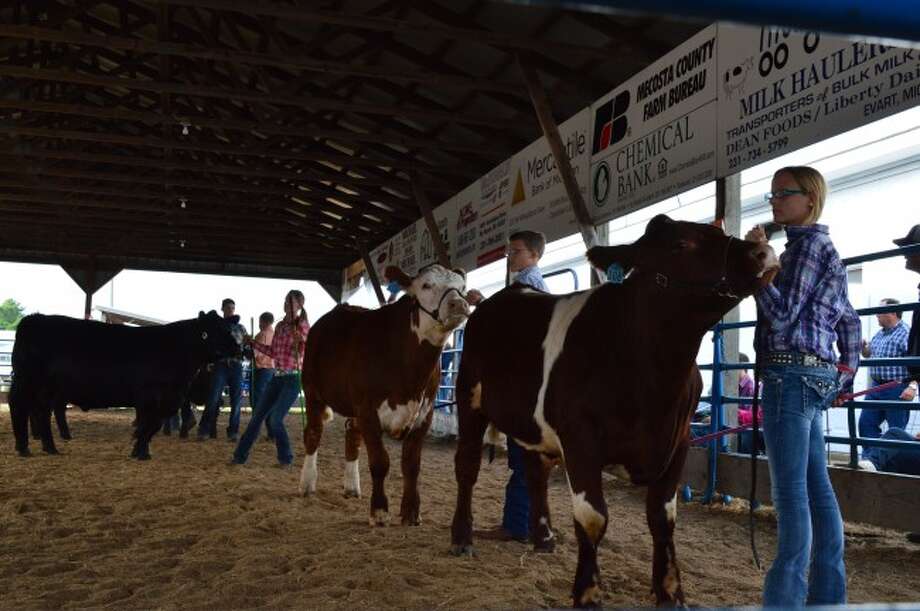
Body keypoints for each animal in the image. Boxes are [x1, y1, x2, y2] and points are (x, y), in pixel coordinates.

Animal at [9, 310, 240, 459]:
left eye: (229, 328)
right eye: (214, 331)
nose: (239, 346)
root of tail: (33, 318)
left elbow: (151, 425)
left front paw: (141, 450)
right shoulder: (151, 397)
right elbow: (149, 424)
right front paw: (140, 451)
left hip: (47, 388)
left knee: (42, 411)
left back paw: (50, 447)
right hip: (27, 381)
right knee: (19, 405)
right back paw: (23, 448)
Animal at [299, 263, 470, 526]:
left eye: (462, 287)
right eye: (426, 285)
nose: (459, 303)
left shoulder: (425, 413)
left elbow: (411, 465)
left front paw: (411, 512)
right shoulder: (368, 409)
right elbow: (380, 462)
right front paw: (379, 511)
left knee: (352, 434)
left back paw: (351, 487)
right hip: (312, 391)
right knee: (313, 433)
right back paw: (307, 484)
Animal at [449, 215, 779, 607]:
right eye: (681, 244)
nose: (763, 251)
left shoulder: (678, 441)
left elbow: (662, 518)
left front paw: (670, 592)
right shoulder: (580, 440)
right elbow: (593, 519)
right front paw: (587, 593)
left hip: (533, 426)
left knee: (534, 473)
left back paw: (543, 538)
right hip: (468, 399)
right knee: (467, 467)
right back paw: (461, 538)